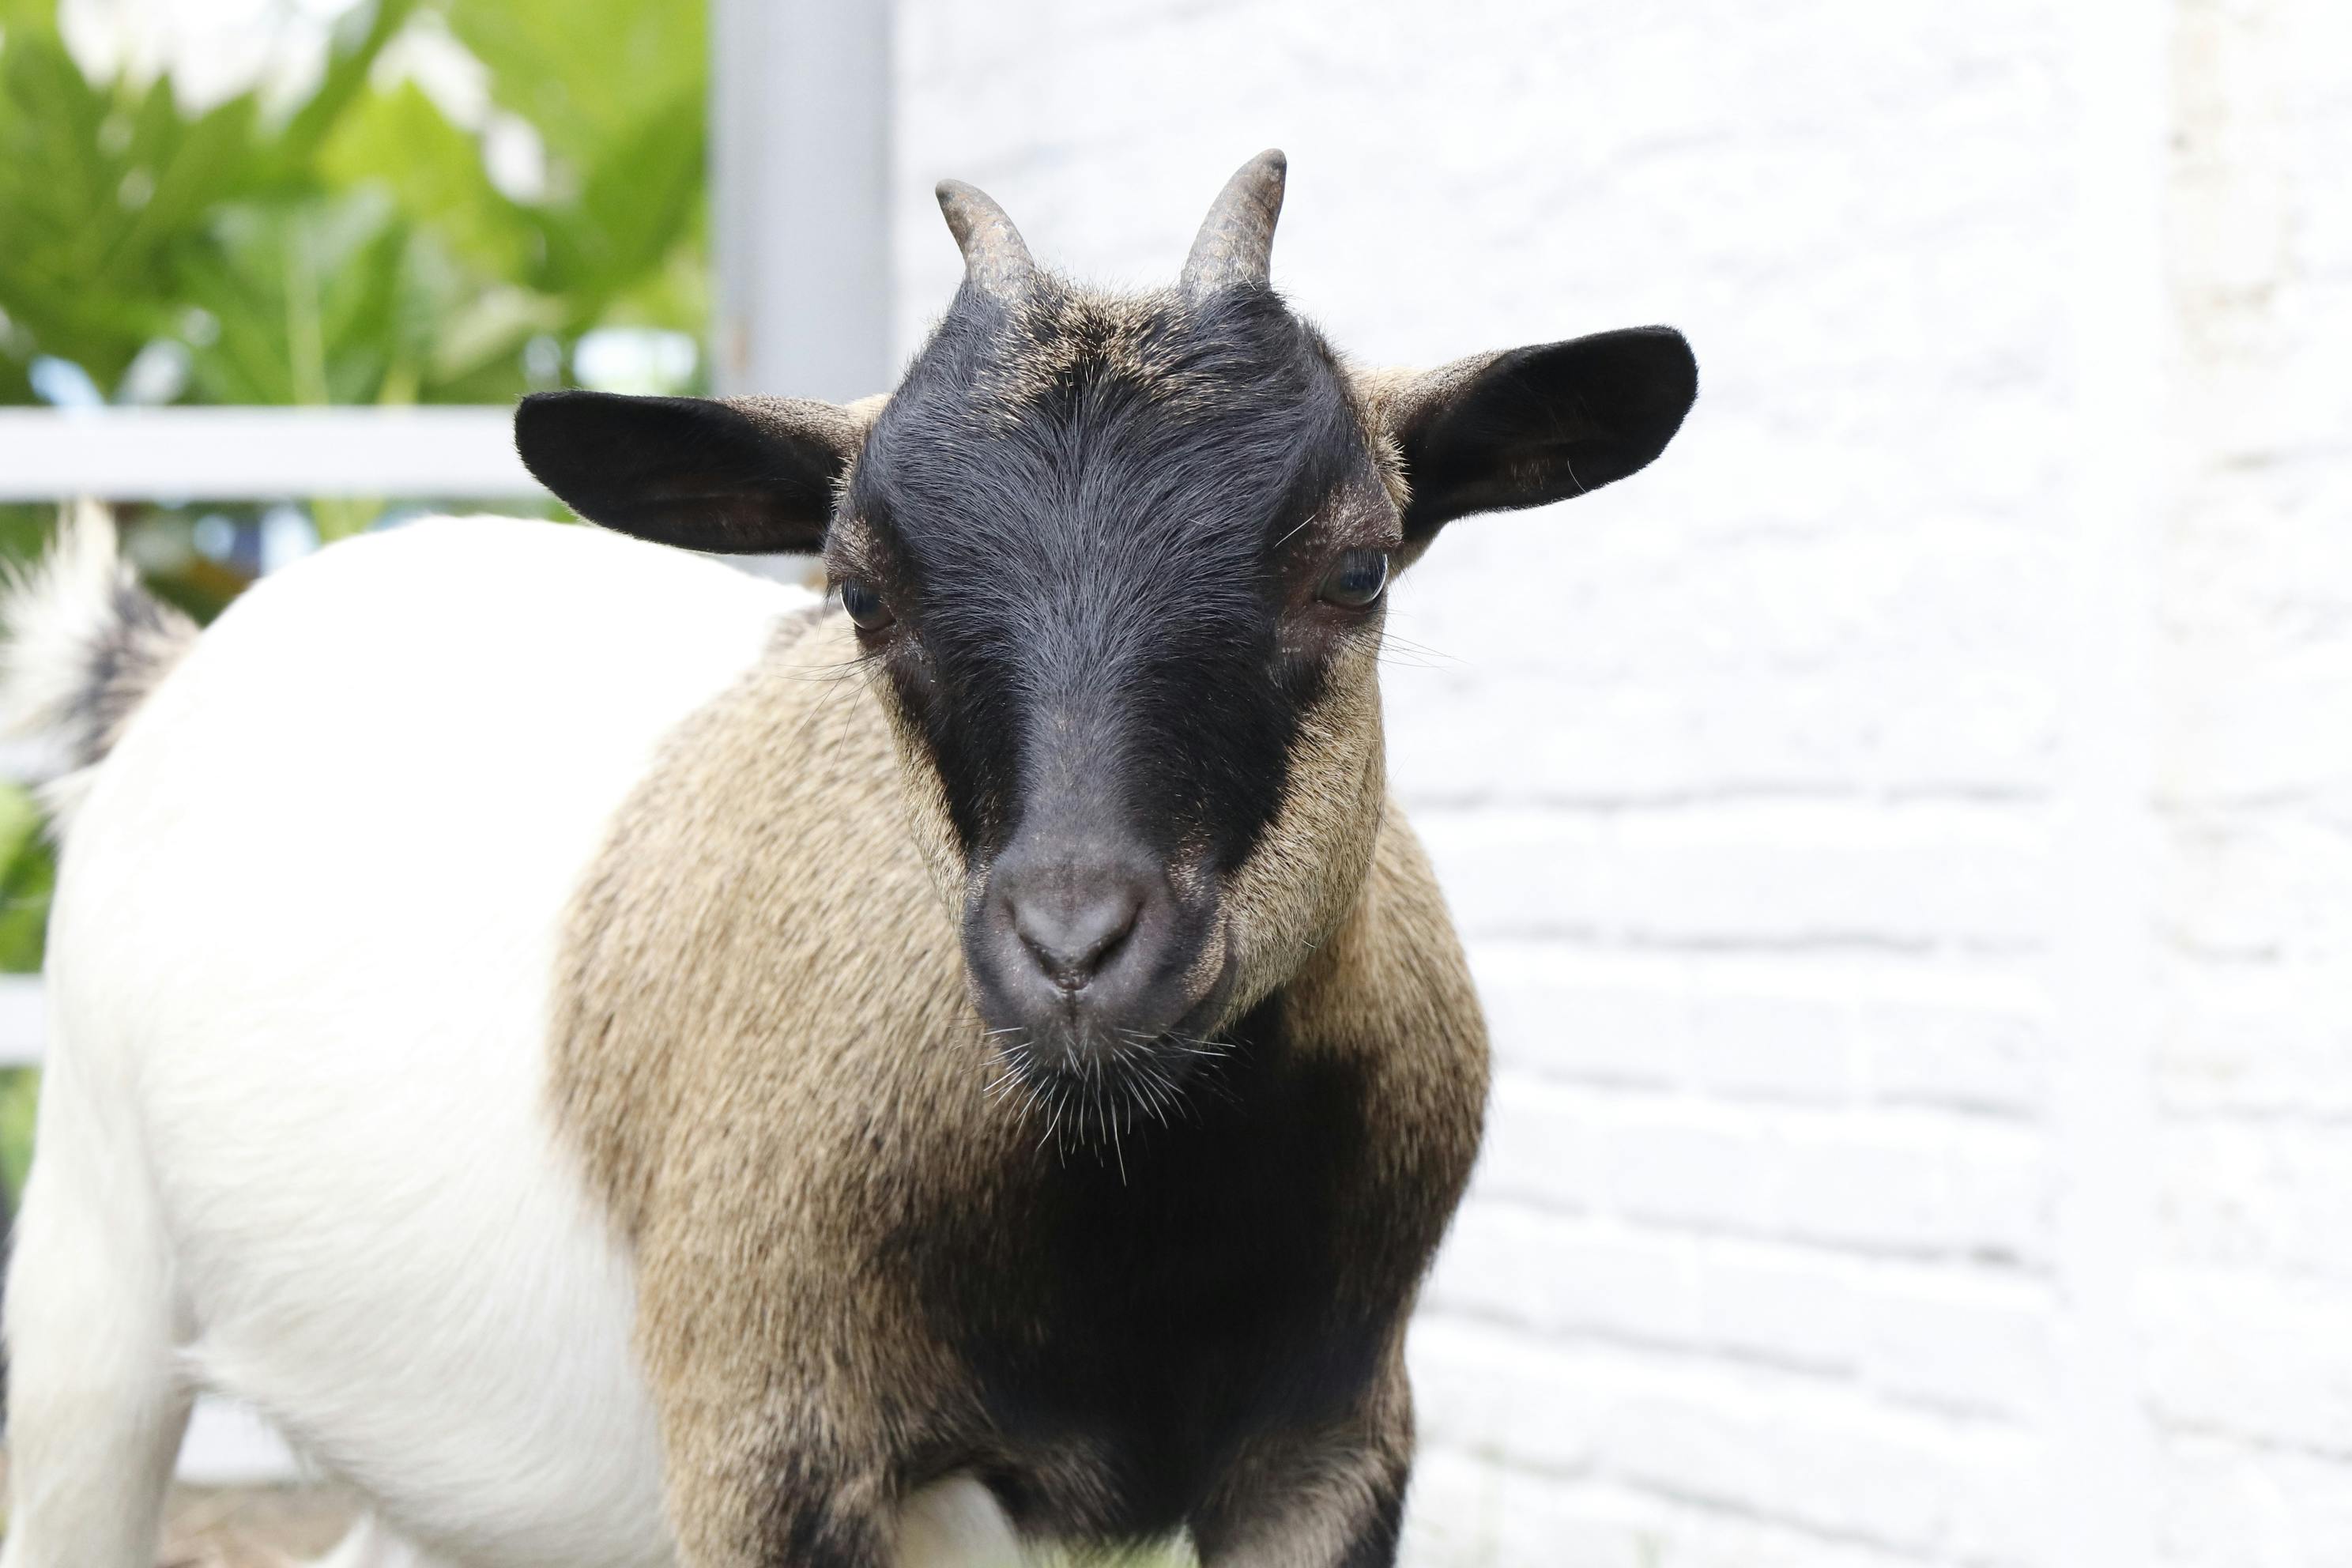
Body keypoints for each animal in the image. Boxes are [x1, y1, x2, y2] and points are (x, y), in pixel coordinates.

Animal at [0, 153, 1695, 1568]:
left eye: (1358, 567)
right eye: (861, 591)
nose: (1075, 950)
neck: (1130, 1217)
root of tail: (165, 668)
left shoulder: (1329, 1443)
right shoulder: (768, 1440)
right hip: (88, 1274)